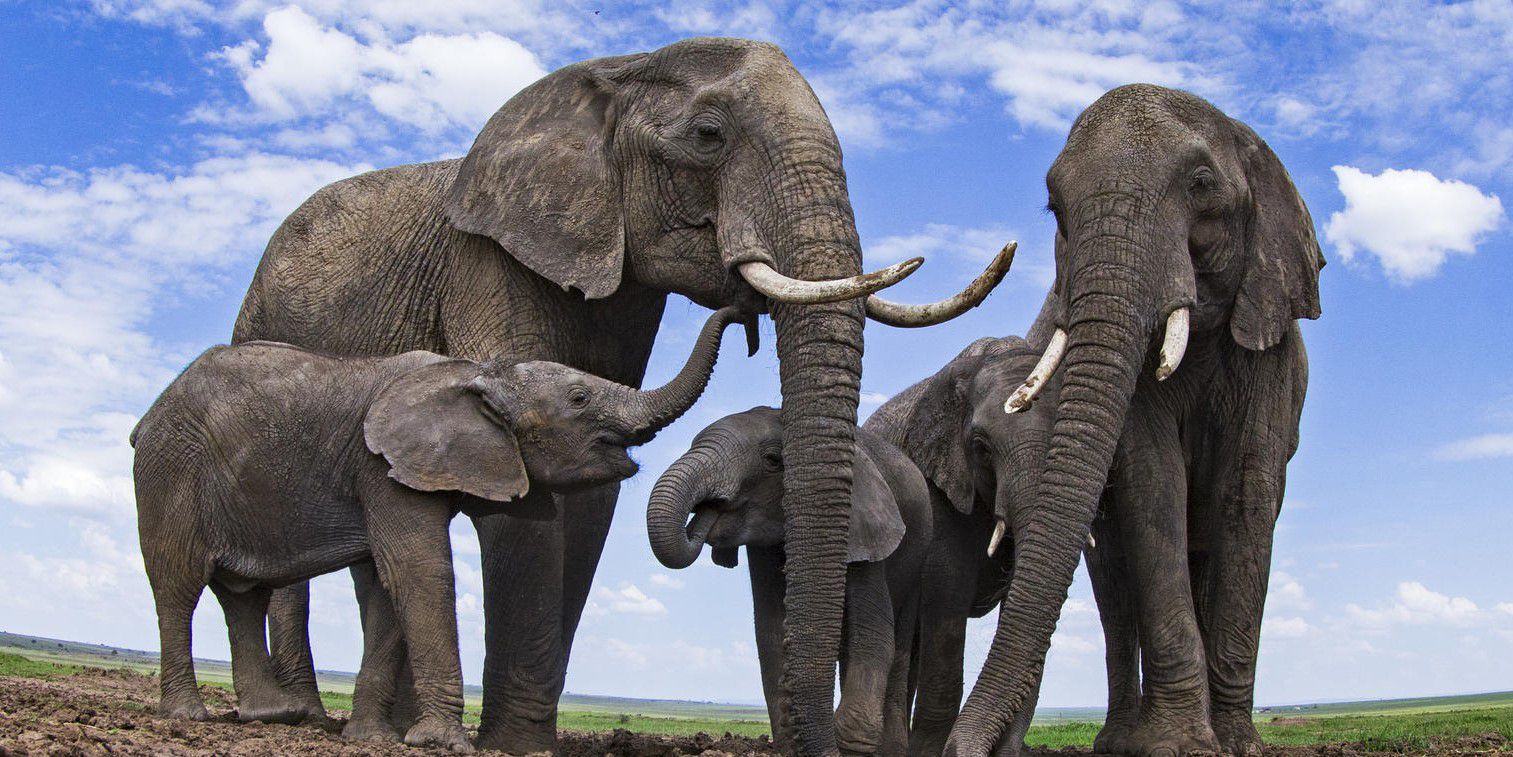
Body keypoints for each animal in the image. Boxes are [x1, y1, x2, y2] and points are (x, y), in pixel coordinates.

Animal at [132, 307, 740, 751]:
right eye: (579, 398)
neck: (480, 374)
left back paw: (270, 716)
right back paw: (188, 714)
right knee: (177, 584)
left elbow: (386, 587)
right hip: (169, 469)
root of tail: (150, 415)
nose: (742, 316)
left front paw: (373, 739)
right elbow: (420, 572)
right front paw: (442, 743)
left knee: (244, 594)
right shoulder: (380, 467)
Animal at [646, 406, 932, 757]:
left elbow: (873, 635)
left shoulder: (865, 526)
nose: (704, 515)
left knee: (899, 642)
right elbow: (771, 632)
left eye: (772, 460)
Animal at [945, 84, 1322, 757]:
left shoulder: (1272, 348)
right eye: (1054, 206)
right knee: (1116, 593)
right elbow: (1154, 486)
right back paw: (1122, 739)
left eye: (1202, 184)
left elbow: (1247, 495)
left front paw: (1237, 745)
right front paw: (1182, 746)